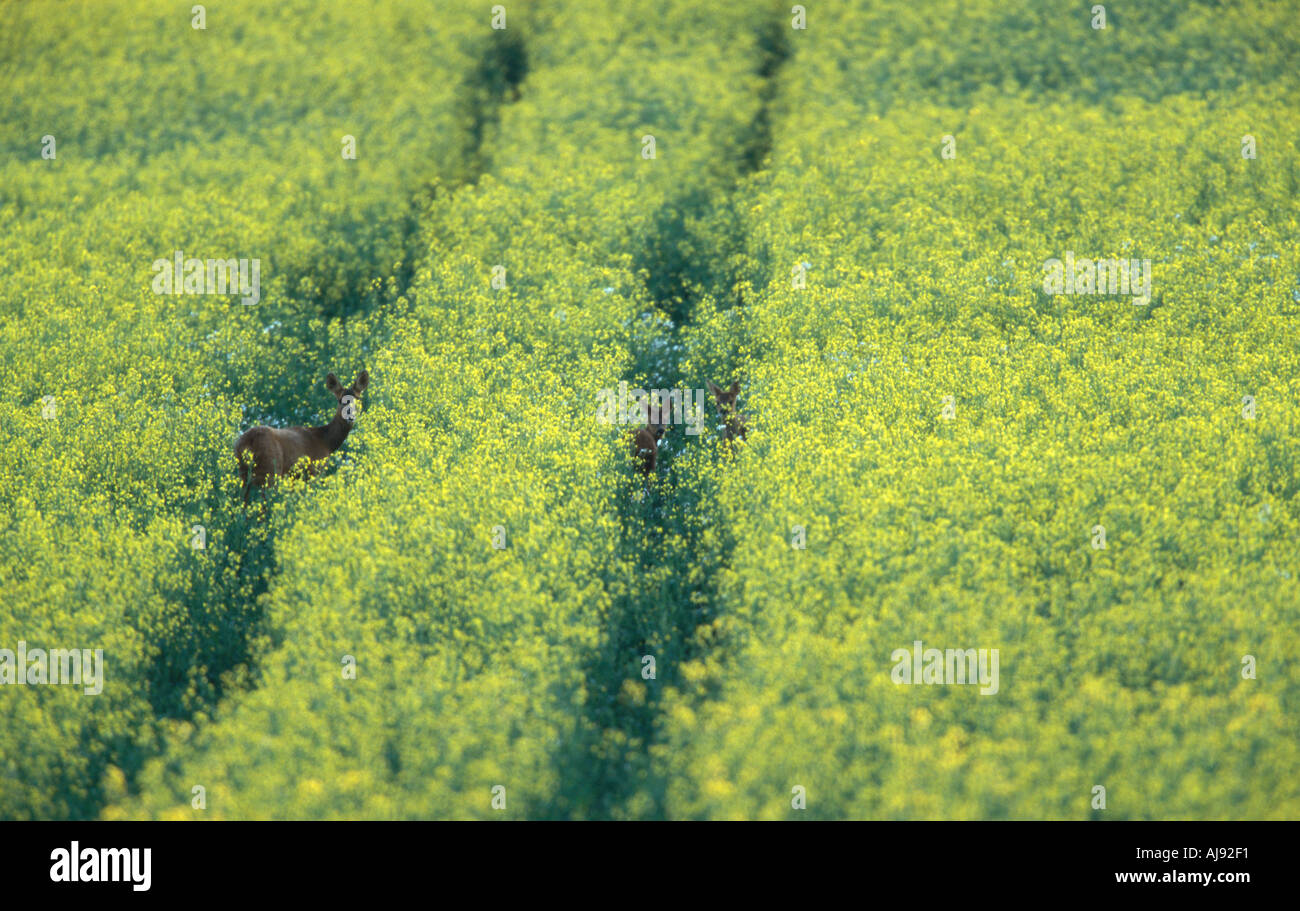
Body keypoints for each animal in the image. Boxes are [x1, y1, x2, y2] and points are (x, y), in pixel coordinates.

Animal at [234, 370, 369, 505]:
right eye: (340, 400)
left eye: (358, 398)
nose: (350, 416)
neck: (326, 442)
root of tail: (249, 441)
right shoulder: (315, 470)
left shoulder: (295, 478)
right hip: (271, 469)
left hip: (243, 473)